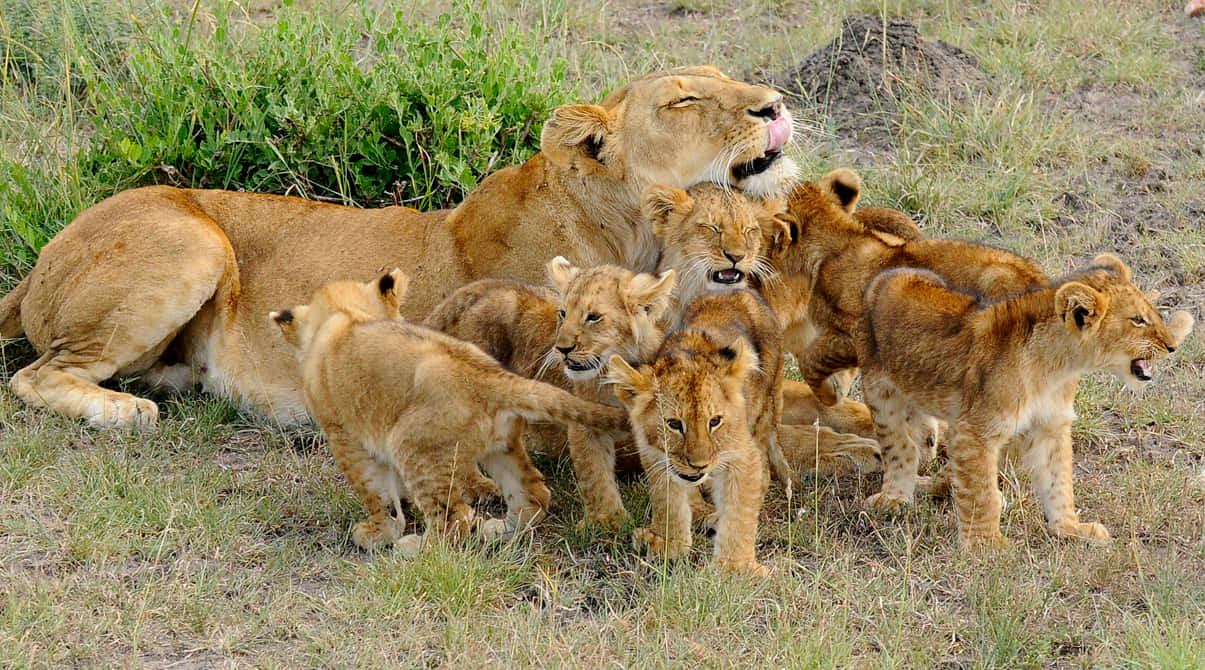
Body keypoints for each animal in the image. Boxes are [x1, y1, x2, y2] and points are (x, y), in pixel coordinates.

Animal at [0, 66, 798, 429]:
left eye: (726, 78)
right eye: (685, 99)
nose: (776, 106)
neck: (637, 235)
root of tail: (38, 263)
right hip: (192, 241)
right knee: (36, 375)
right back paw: (126, 410)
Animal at [269, 270, 630, 553]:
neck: (345, 314)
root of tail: (491, 378)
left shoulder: (344, 437)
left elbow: (376, 494)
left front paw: (378, 532)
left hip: (410, 444)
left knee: (454, 518)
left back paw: (415, 549)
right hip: (502, 445)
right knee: (535, 494)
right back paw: (499, 530)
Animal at [858, 254, 1194, 548]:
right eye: (1138, 320)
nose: (1173, 346)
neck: (1056, 367)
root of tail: (887, 276)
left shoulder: (1049, 425)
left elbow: (1059, 482)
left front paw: (1070, 529)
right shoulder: (975, 431)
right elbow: (981, 492)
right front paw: (985, 547)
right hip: (881, 392)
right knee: (899, 448)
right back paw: (895, 498)